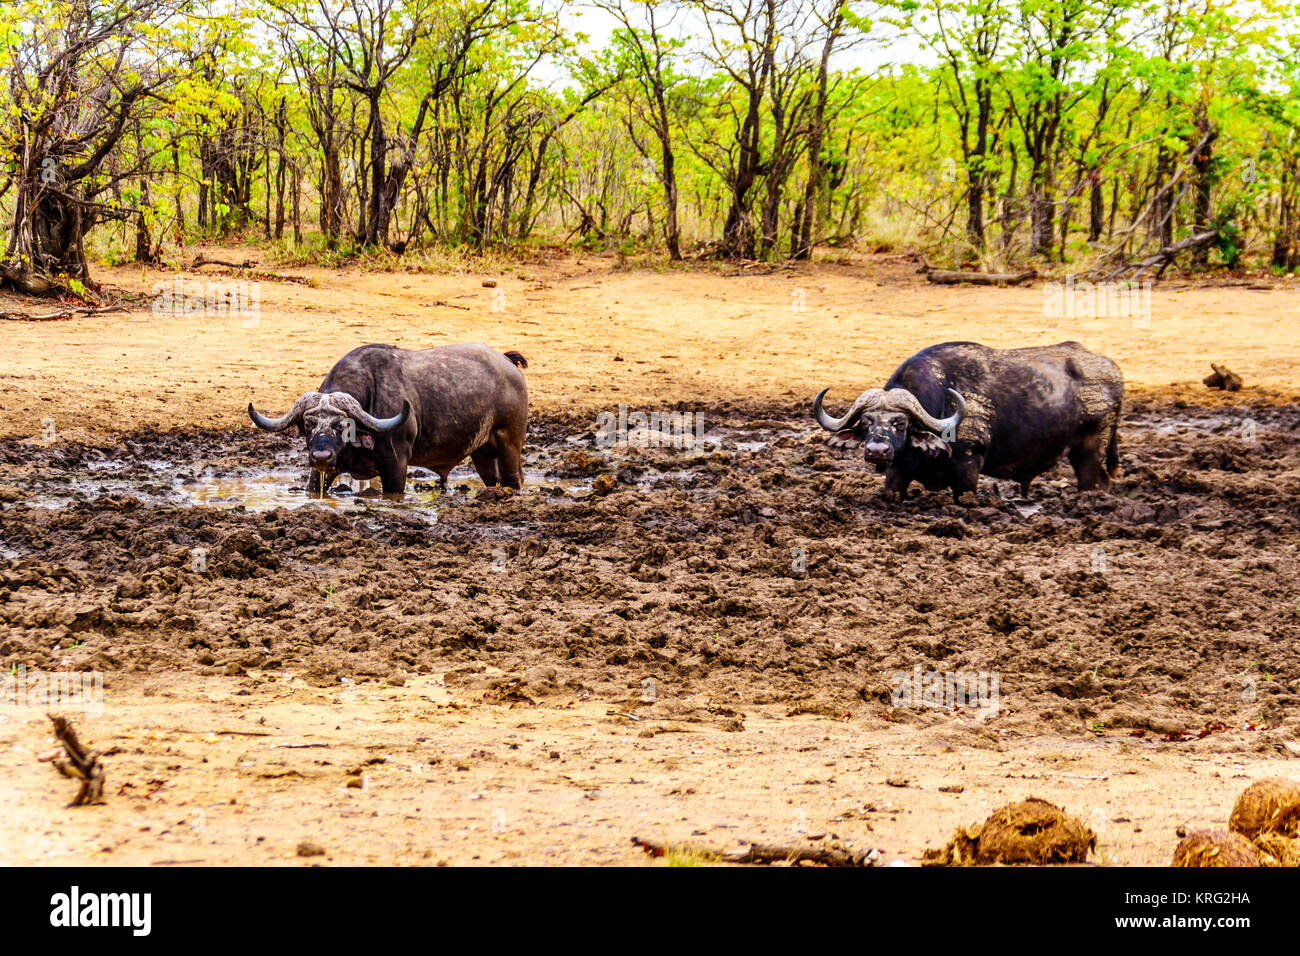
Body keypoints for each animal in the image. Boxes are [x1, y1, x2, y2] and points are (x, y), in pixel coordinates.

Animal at [249, 343, 529, 496]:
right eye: (309, 424)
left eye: (342, 425)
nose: (321, 456)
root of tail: (507, 363)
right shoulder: (325, 471)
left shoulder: (396, 466)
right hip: (482, 452)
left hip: (510, 445)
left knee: (514, 479)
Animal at [813, 341, 1123, 502]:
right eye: (866, 423)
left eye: (901, 423)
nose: (877, 451)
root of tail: (1111, 368)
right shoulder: (897, 472)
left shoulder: (969, 467)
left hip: (1091, 449)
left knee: (1094, 481)